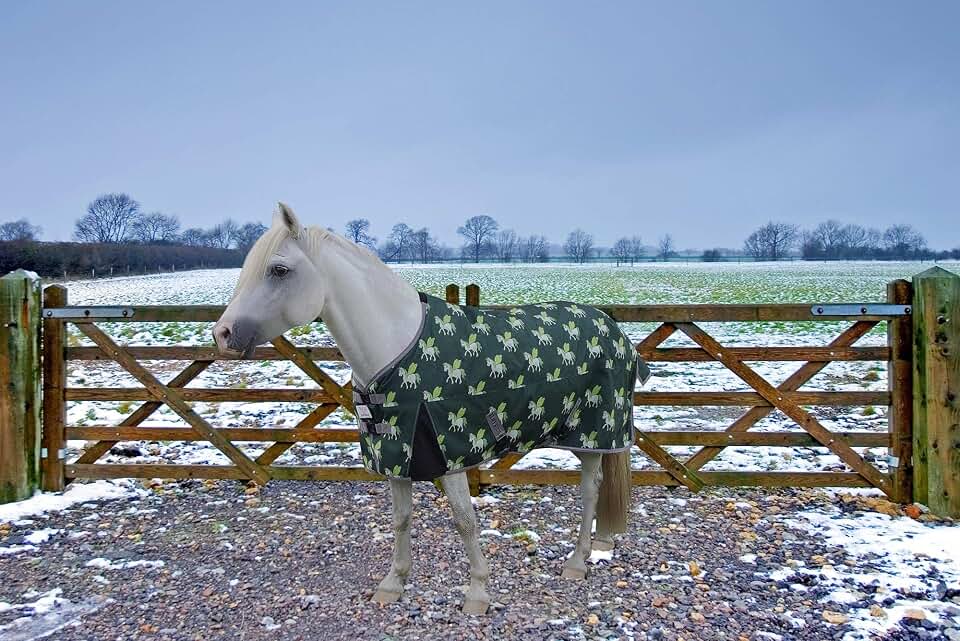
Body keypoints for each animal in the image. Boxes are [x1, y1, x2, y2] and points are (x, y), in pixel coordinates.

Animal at [213, 203, 648, 615]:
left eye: (278, 269)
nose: (223, 334)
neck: (395, 349)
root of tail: (615, 330)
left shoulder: (449, 455)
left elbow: (465, 520)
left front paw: (478, 593)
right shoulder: (397, 456)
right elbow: (402, 519)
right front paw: (393, 584)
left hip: (595, 433)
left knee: (590, 490)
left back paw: (576, 562)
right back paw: (595, 549)